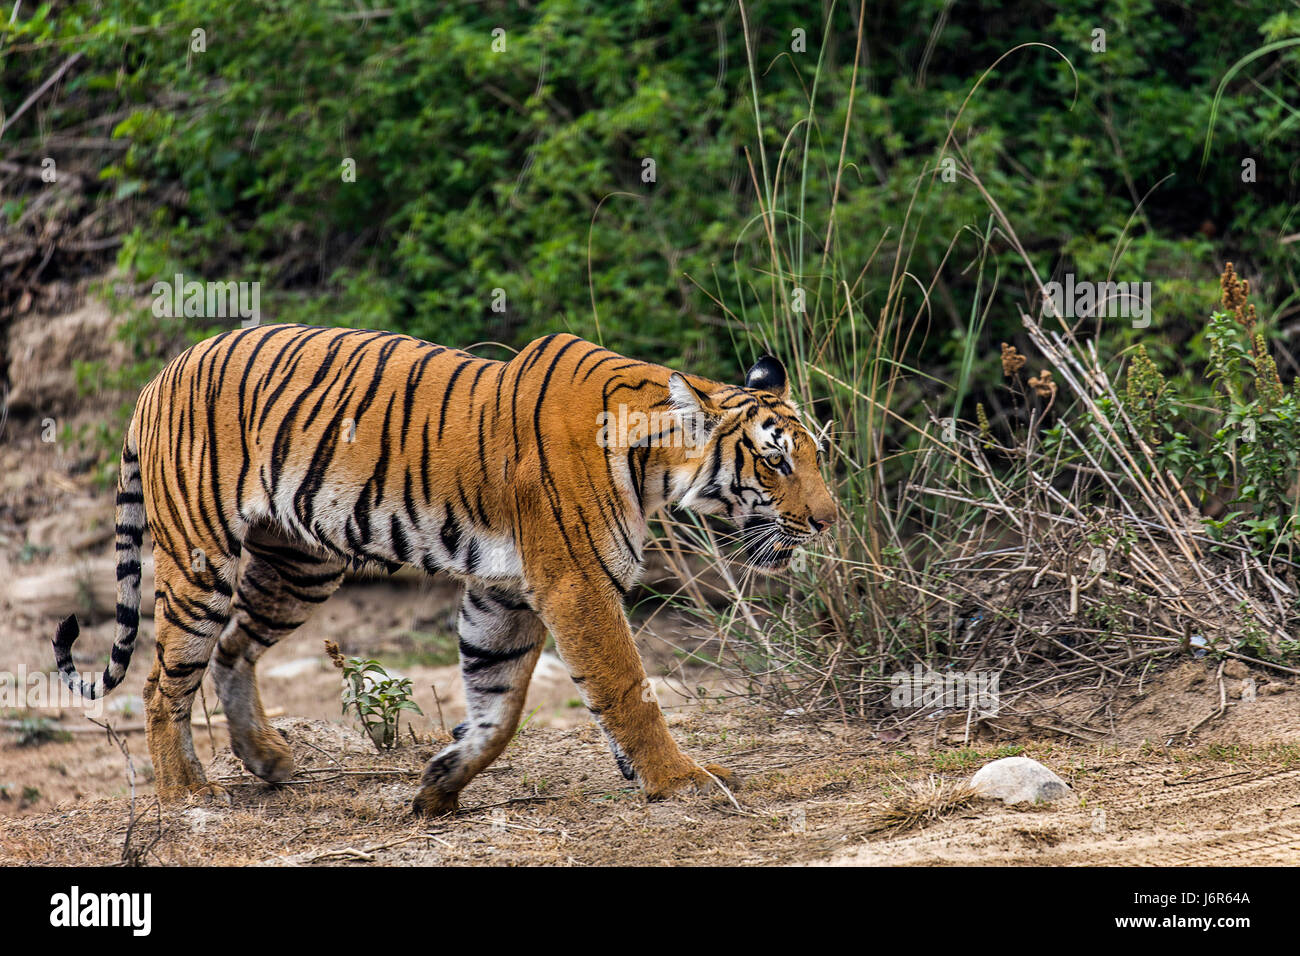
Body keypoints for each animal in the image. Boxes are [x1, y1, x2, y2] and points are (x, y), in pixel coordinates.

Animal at [52, 326, 836, 814]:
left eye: (817, 454)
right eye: (775, 461)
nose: (830, 519)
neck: (654, 463)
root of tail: (158, 375)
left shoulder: (504, 594)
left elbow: (499, 706)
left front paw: (440, 784)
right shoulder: (576, 584)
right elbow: (627, 689)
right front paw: (682, 780)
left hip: (300, 564)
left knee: (234, 650)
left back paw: (268, 759)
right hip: (202, 559)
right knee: (162, 682)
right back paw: (185, 792)